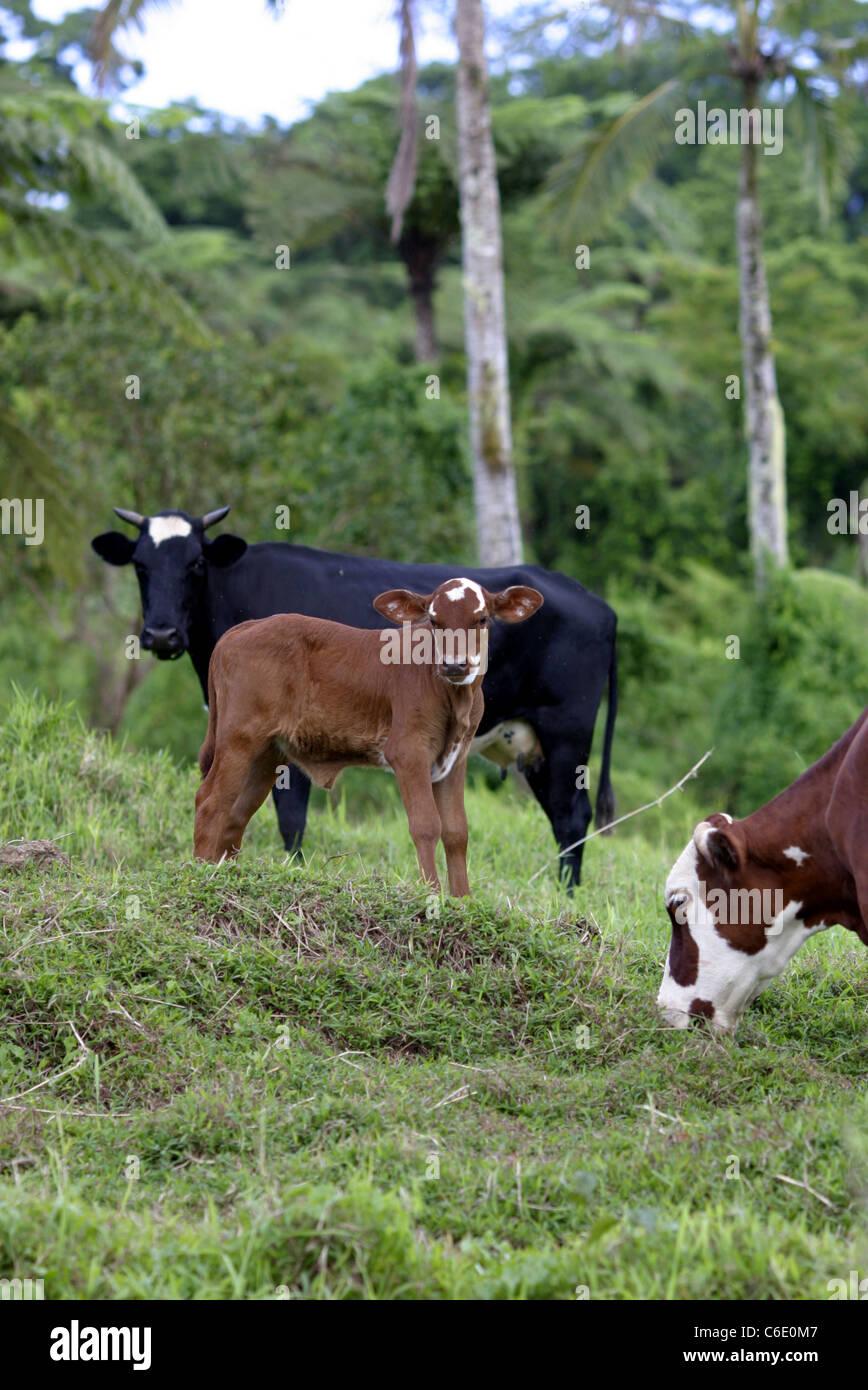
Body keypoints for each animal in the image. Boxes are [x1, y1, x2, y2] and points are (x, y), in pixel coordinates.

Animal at [194, 578, 544, 892]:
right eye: (434, 621)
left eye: (482, 619)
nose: (455, 665)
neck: (454, 700)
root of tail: (245, 628)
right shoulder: (407, 751)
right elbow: (426, 825)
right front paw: (432, 895)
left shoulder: (455, 758)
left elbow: (457, 831)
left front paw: (462, 900)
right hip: (239, 738)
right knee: (210, 802)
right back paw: (201, 871)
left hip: (267, 753)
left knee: (236, 815)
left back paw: (225, 873)